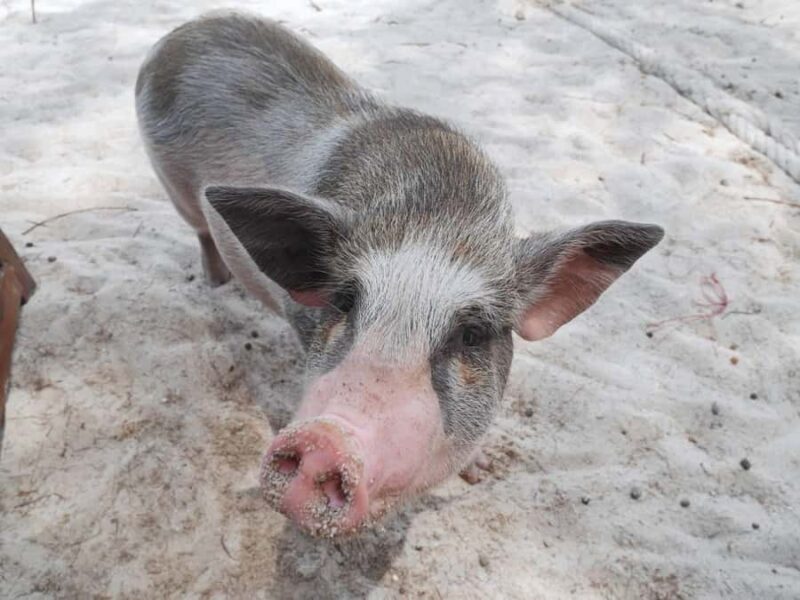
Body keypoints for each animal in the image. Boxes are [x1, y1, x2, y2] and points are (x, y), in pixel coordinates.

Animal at [135, 12, 664, 537]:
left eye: (472, 334)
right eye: (345, 302)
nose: (324, 438)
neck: (434, 217)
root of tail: (180, 33)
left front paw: (482, 470)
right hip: (176, 191)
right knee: (203, 233)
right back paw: (216, 285)